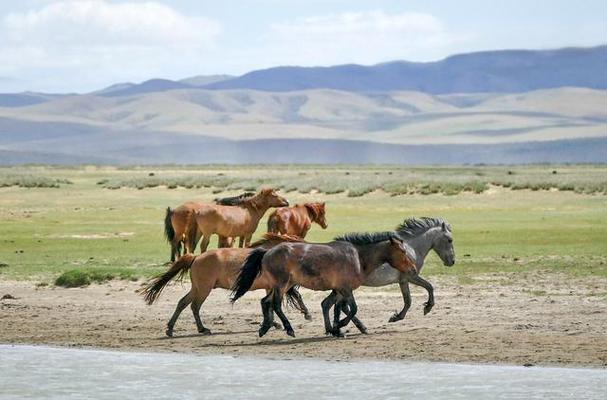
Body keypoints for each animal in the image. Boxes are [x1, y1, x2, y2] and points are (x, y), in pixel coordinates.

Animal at [143, 233, 314, 336]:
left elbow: (271, 303)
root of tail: (196, 257)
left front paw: (272, 323)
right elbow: (292, 297)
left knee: (183, 303)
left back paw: (171, 329)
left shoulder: (271, 287)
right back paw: (202, 329)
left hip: (197, 288)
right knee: (194, 306)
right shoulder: (277, 285)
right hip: (204, 289)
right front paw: (305, 314)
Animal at [232, 231, 418, 338]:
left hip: (282, 285)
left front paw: (335, 329)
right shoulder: (345, 289)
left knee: (265, 302)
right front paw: (339, 326)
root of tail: (267, 251)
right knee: (276, 305)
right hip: (281, 284)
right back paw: (289, 329)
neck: (358, 257)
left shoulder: (339, 290)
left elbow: (333, 307)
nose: (413, 269)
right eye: (402, 251)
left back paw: (264, 328)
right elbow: (352, 308)